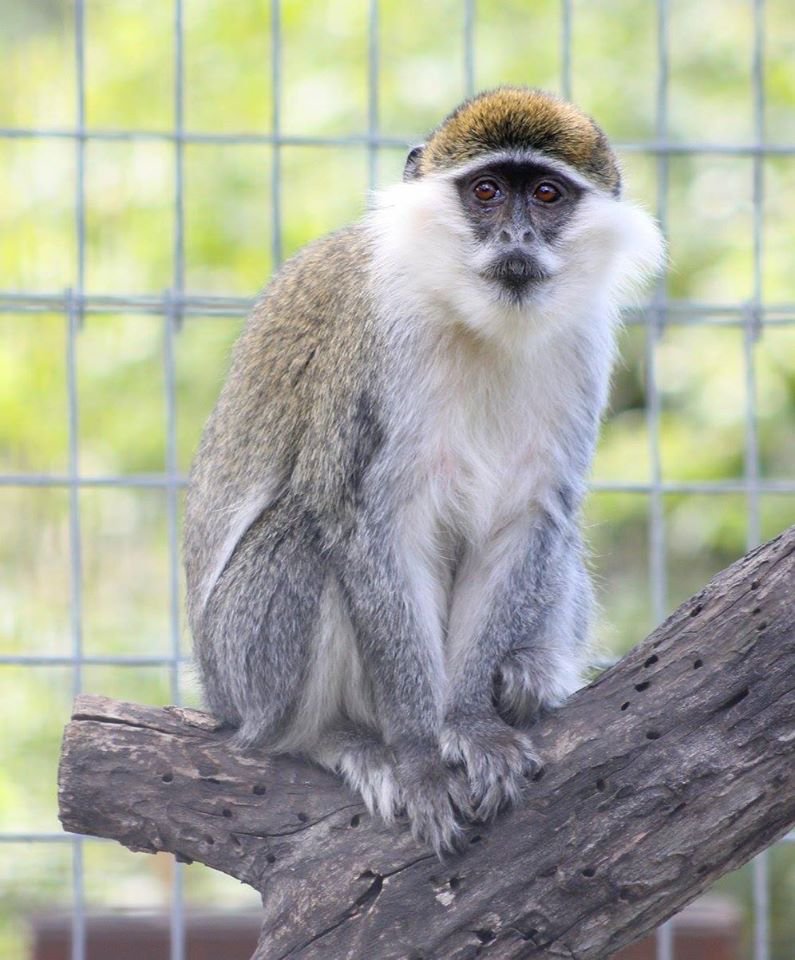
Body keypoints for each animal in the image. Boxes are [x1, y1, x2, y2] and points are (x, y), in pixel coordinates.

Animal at [184, 86, 664, 854]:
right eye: (487, 191)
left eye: (548, 194)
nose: (516, 241)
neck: (476, 321)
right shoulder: (374, 342)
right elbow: (366, 524)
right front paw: (417, 756)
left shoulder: (583, 344)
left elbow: (530, 516)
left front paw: (469, 722)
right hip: (241, 663)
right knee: (304, 533)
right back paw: (332, 738)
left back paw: (529, 674)